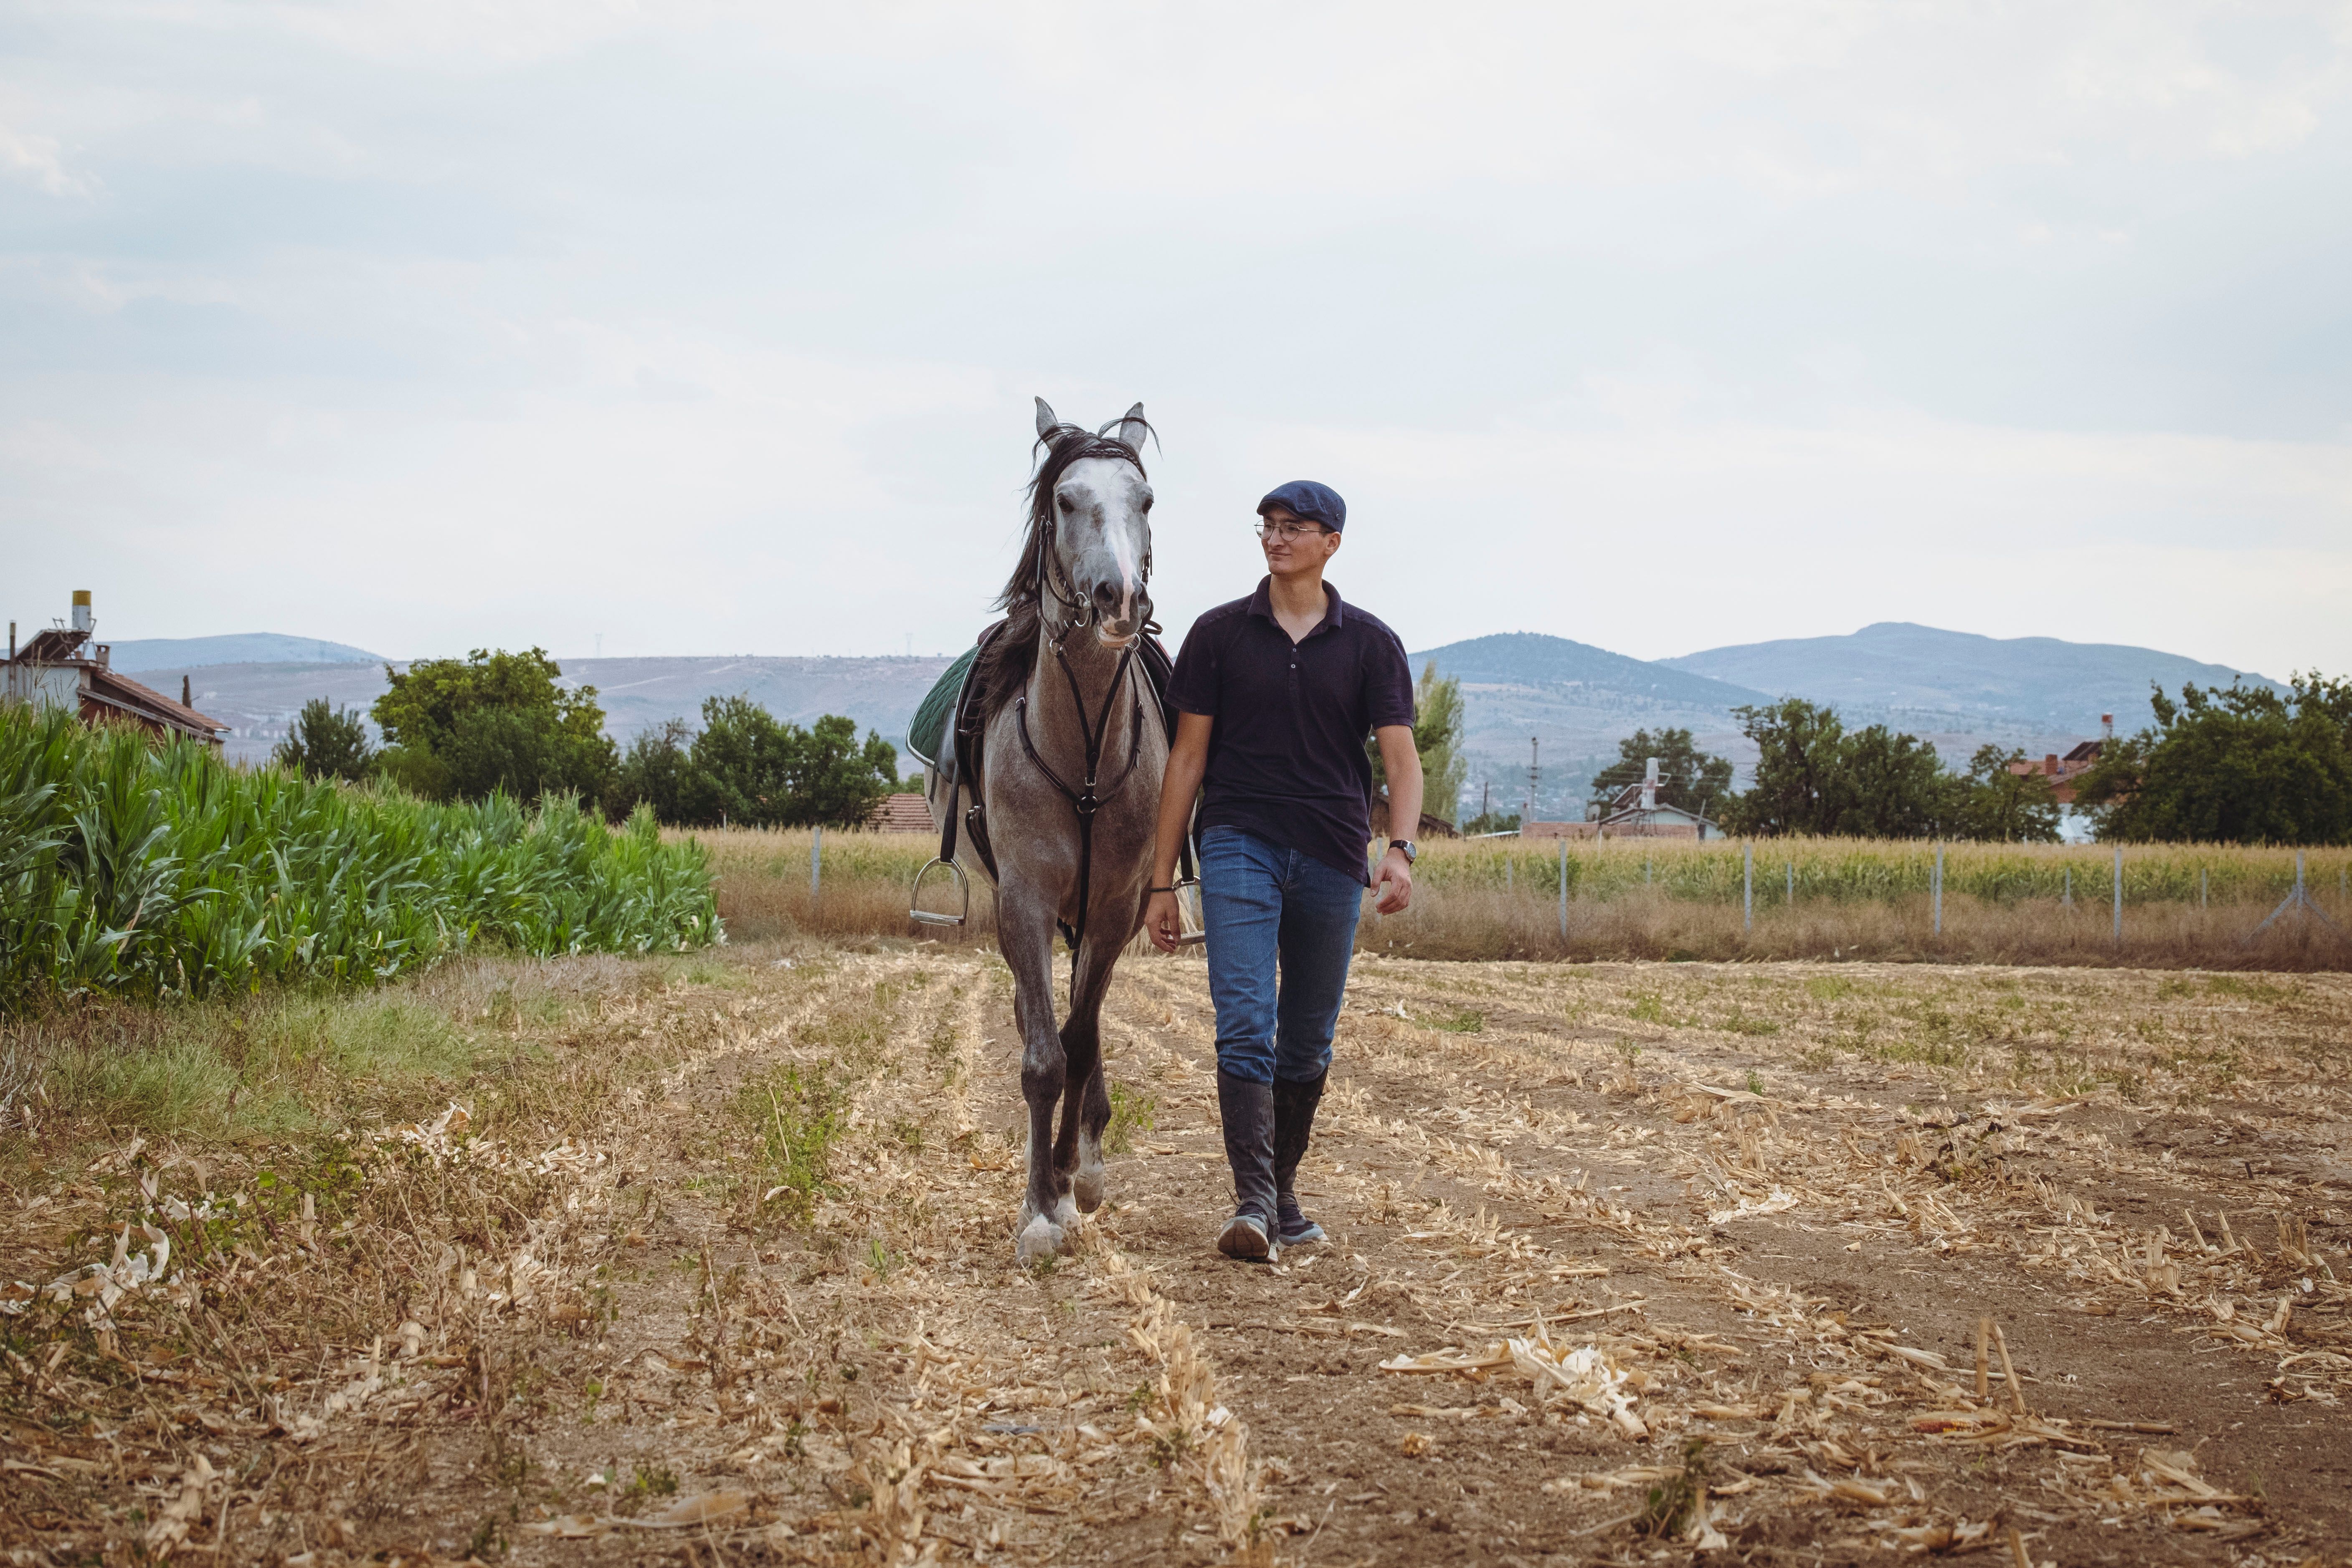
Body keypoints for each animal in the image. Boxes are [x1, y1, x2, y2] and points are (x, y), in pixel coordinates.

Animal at [923, 397, 1169, 1263]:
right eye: (1065, 500)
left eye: (1145, 501)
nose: (1118, 598)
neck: (1085, 750)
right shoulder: (1024, 901)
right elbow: (1042, 1056)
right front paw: (1038, 1208)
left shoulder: (1113, 909)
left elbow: (1083, 1039)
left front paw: (1073, 1179)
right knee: (1035, 1023)